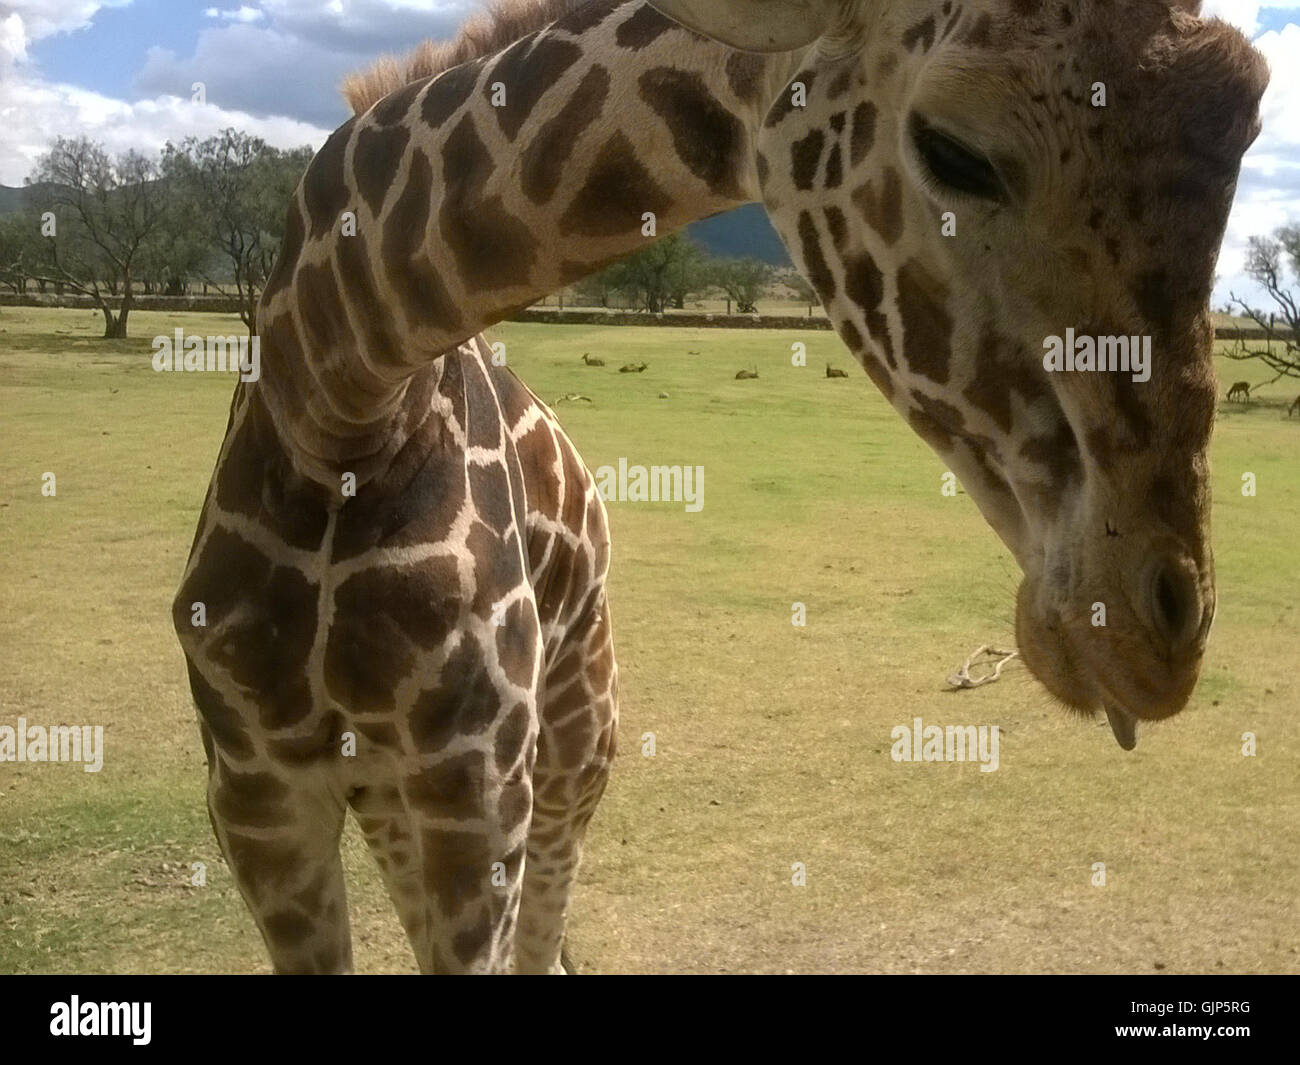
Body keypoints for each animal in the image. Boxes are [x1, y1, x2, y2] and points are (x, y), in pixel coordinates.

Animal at [172, 0, 1266, 973]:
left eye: (1249, 126)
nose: (1155, 640)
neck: (343, 406)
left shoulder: (471, 785)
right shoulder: (255, 792)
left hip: (572, 737)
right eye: (954, 150)